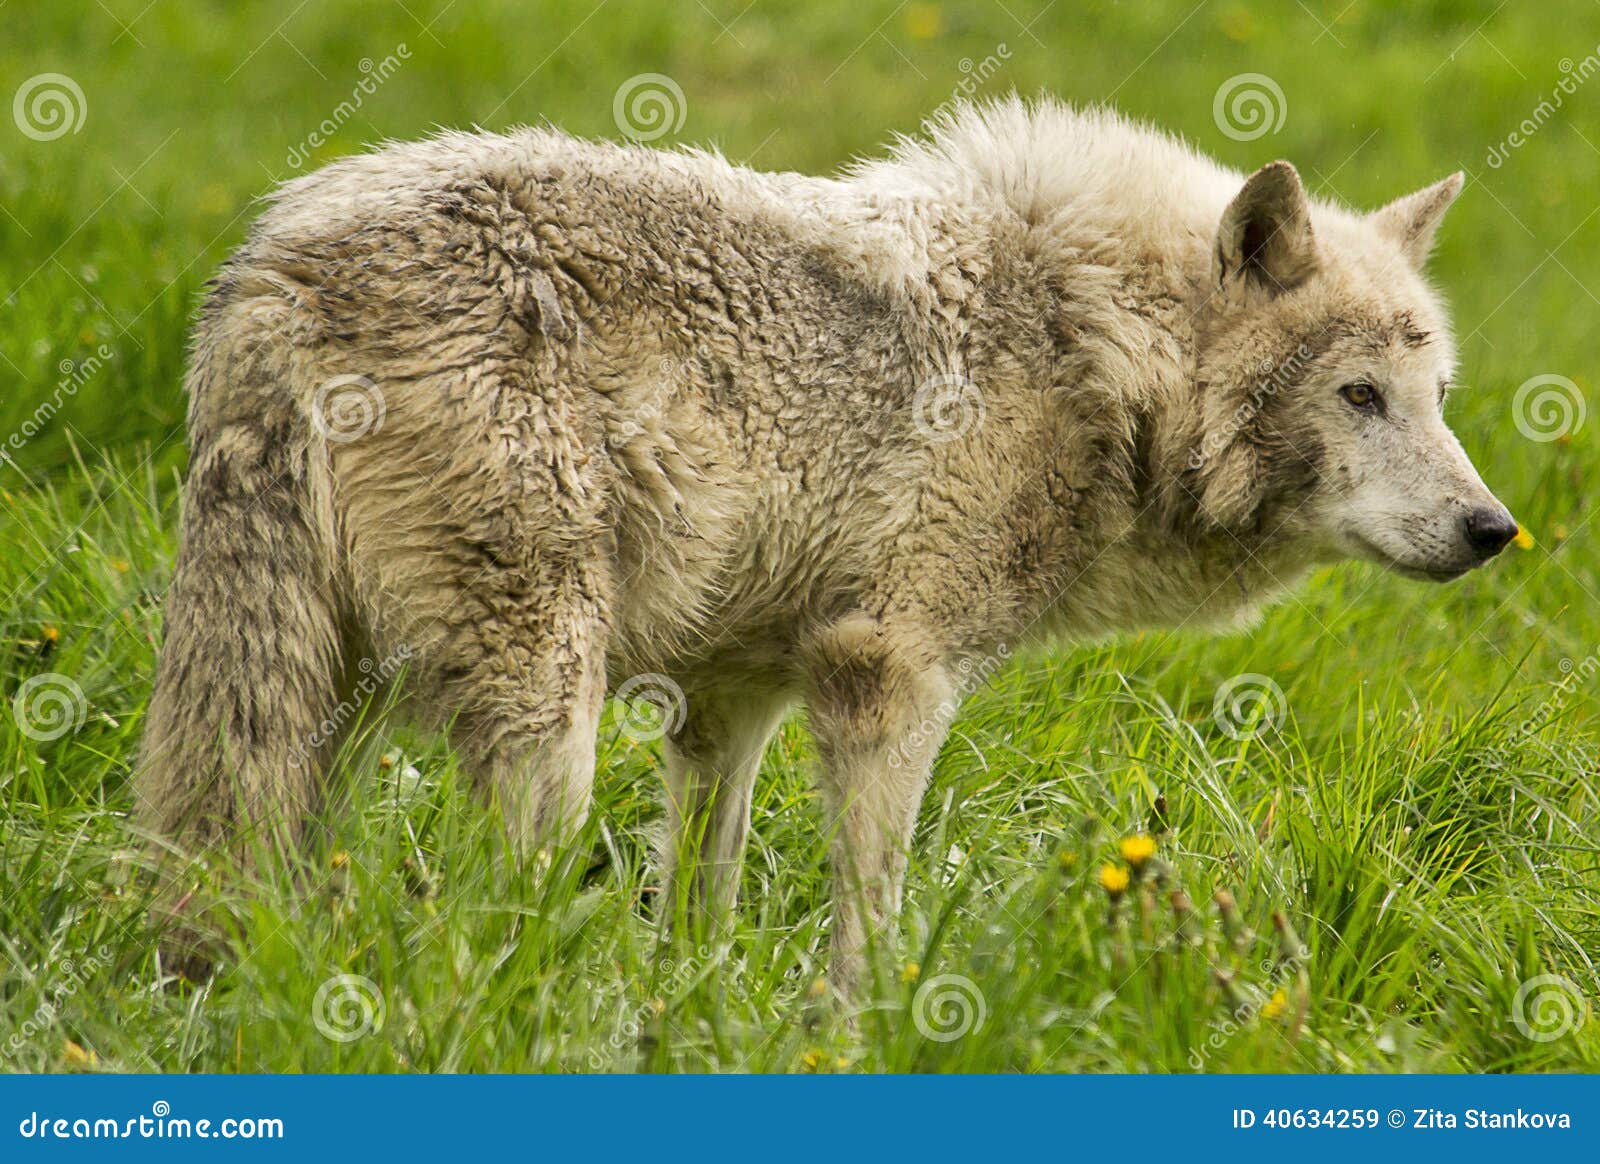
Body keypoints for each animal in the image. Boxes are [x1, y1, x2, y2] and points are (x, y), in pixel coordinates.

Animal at [137, 98, 1515, 991]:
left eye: (1439, 397)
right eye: (1358, 397)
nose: (1494, 530)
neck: (1092, 346)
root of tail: (276, 273)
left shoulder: (730, 697)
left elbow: (702, 903)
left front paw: (693, 1022)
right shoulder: (885, 677)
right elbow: (873, 914)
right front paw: (863, 1032)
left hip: (335, 700)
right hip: (541, 715)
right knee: (494, 915)